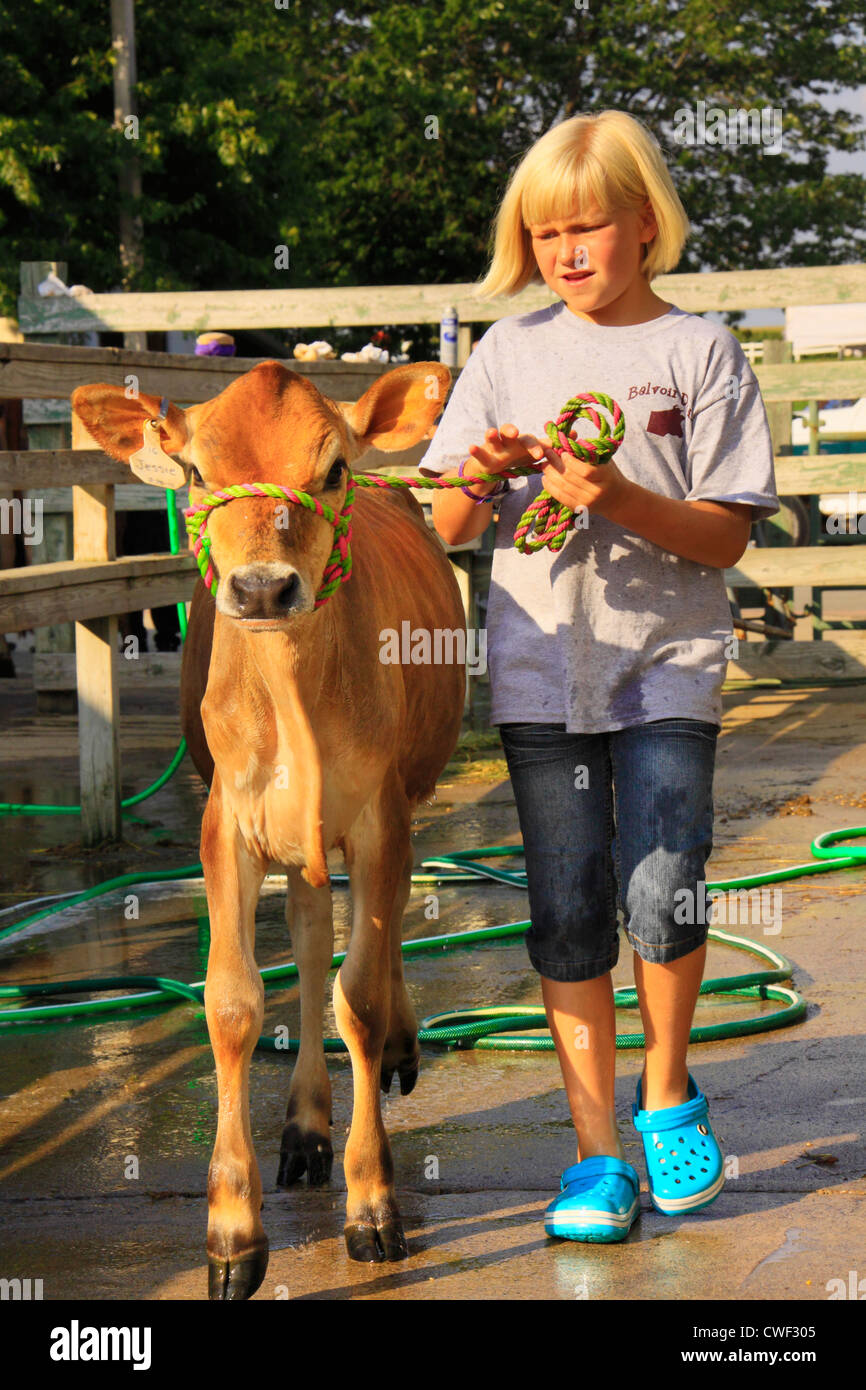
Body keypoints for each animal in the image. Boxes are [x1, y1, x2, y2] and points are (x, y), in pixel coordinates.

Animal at [71, 360, 466, 1299]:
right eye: (195, 474)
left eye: (332, 470)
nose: (259, 588)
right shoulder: (227, 825)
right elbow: (233, 1003)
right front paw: (232, 1230)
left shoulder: (378, 816)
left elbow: (359, 998)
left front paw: (372, 1203)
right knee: (313, 935)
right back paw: (305, 1127)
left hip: (399, 804)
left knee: (377, 942)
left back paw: (394, 1052)